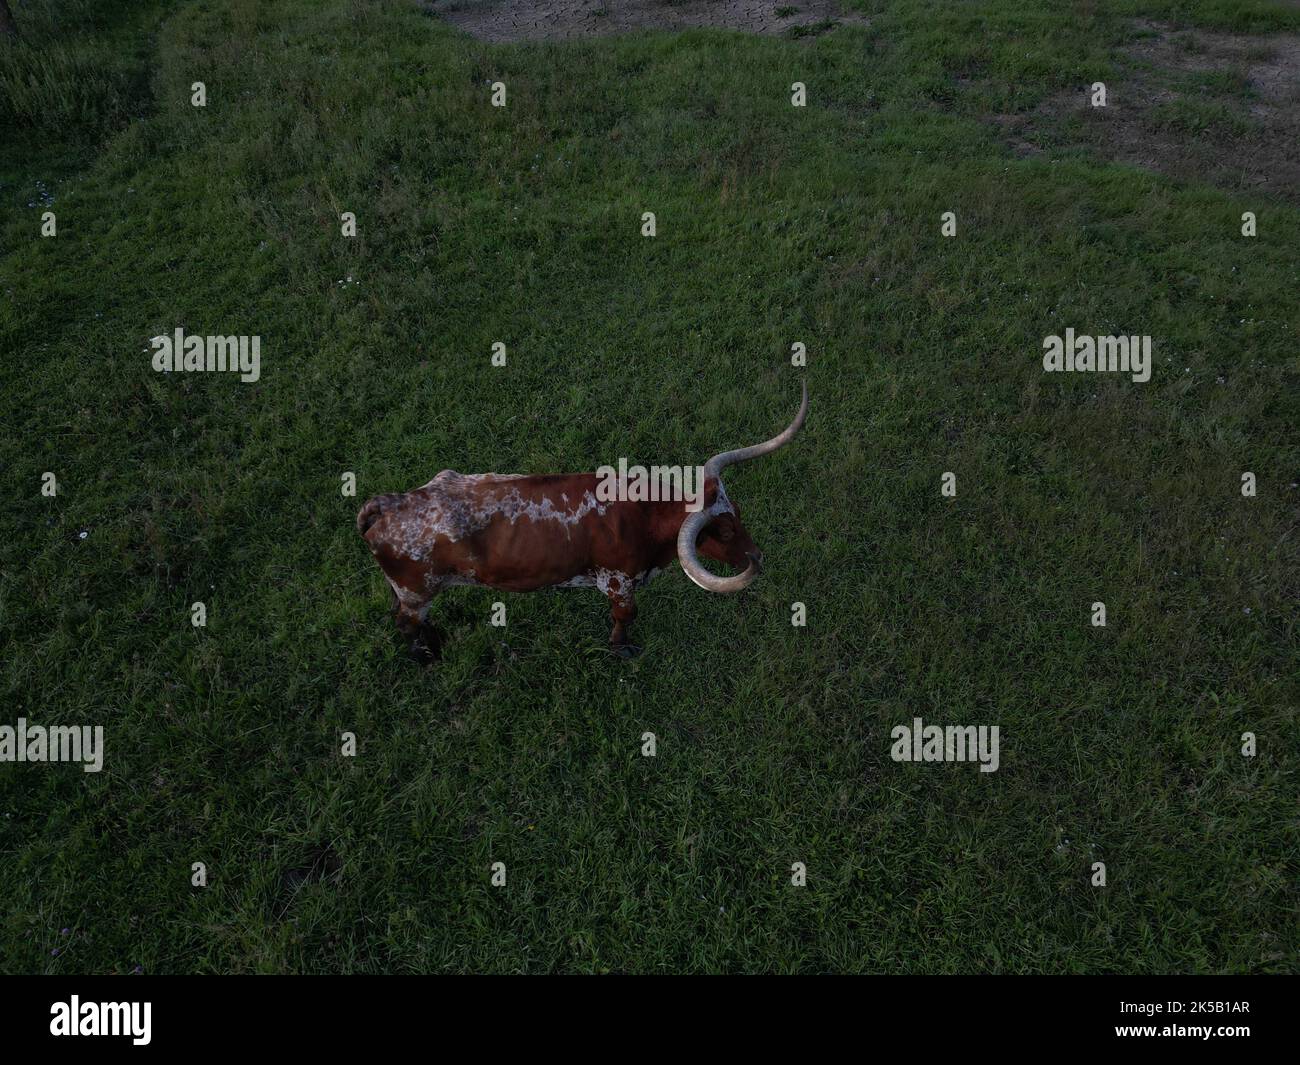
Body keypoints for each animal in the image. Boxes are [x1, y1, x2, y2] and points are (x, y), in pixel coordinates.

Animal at [358, 382, 807, 660]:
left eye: (739, 515)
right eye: (725, 530)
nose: (757, 555)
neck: (640, 515)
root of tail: (391, 503)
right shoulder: (618, 583)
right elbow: (625, 618)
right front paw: (621, 650)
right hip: (417, 590)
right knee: (405, 623)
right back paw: (427, 655)